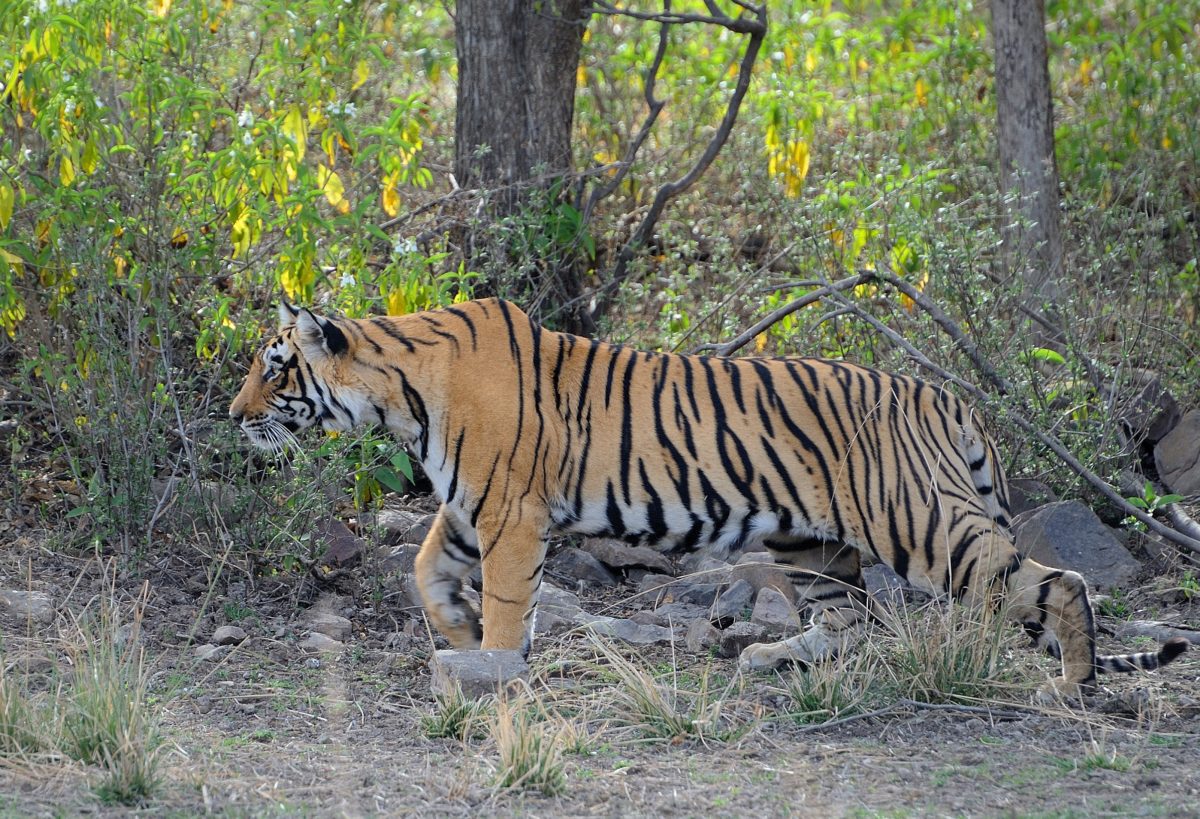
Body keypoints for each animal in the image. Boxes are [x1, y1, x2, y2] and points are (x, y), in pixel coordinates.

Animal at [230, 297, 1187, 700]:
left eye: (275, 367)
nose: (235, 416)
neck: (400, 393)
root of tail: (940, 393)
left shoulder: (510, 513)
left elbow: (504, 602)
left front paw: (492, 662)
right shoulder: (472, 511)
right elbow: (426, 572)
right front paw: (462, 637)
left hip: (923, 525)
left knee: (1058, 581)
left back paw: (1074, 685)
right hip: (824, 545)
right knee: (852, 619)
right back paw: (774, 660)